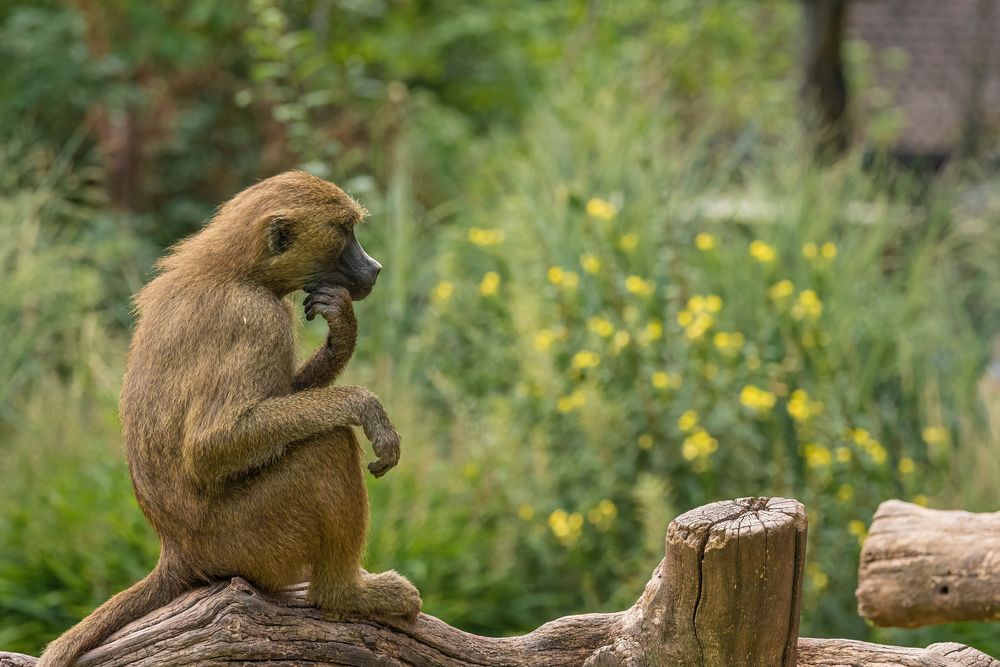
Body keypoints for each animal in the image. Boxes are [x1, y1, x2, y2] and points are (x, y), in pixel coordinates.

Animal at [38, 170, 421, 667]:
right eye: (345, 232)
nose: (374, 268)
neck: (238, 269)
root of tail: (178, 551)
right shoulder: (257, 319)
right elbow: (213, 445)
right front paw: (364, 406)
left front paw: (341, 334)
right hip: (246, 539)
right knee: (327, 444)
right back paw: (345, 594)